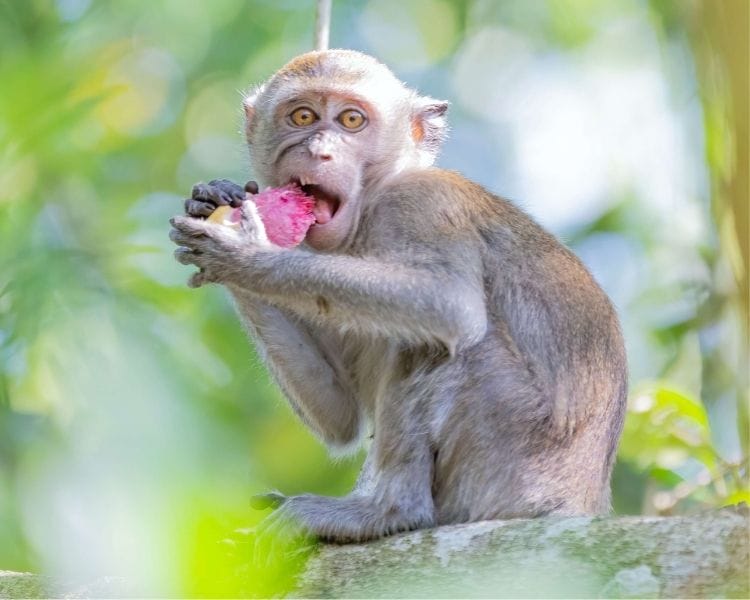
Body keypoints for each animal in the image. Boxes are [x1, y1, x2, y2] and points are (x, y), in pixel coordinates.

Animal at [169, 50, 627, 543]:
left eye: (351, 120)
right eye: (303, 116)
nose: (319, 150)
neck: (372, 204)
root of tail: (577, 503)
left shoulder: (421, 204)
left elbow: (450, 305)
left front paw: (241, 254)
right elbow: (339, 415)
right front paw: (212, 200)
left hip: (511, 456)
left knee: (443, 341)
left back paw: (389, 512)